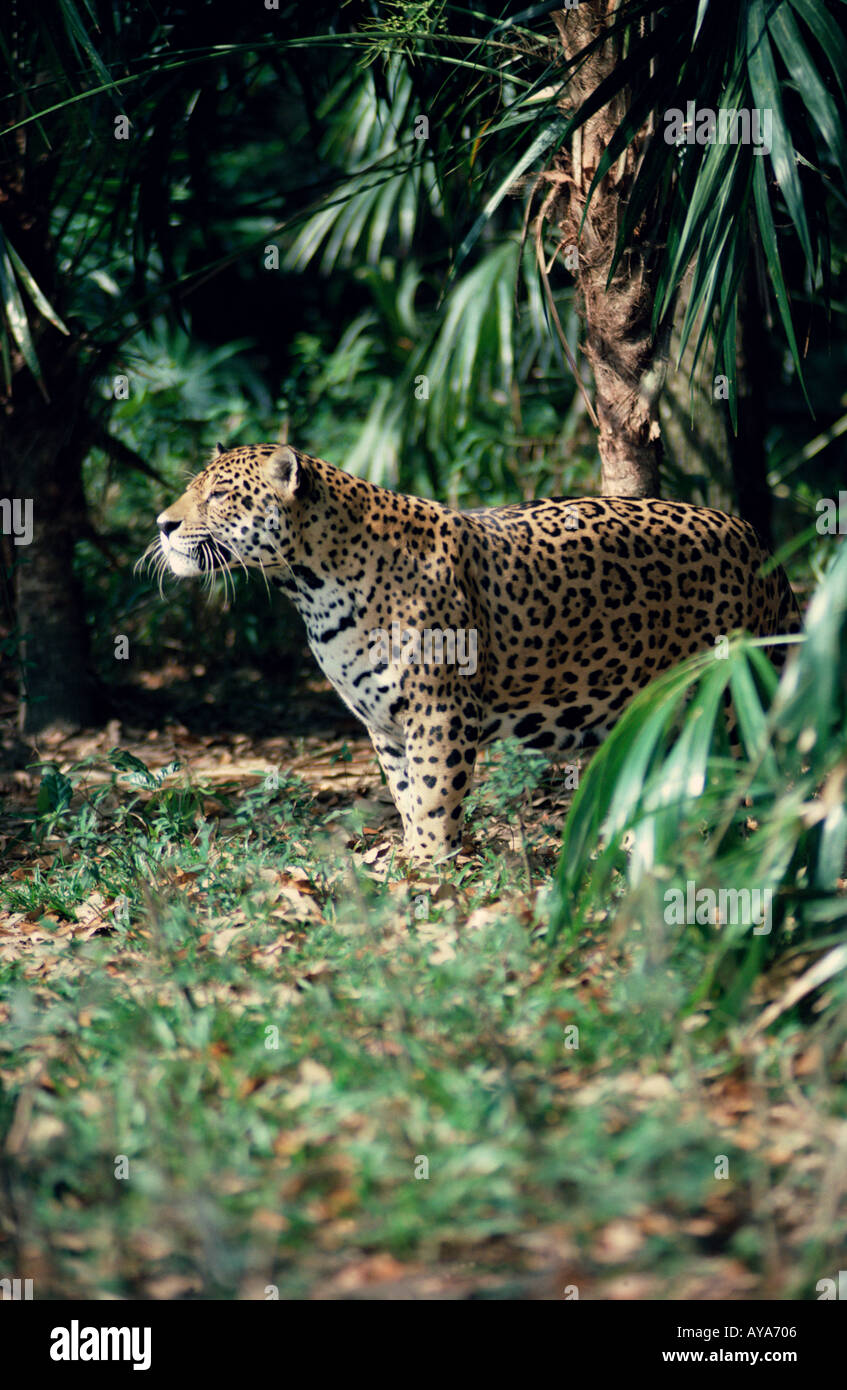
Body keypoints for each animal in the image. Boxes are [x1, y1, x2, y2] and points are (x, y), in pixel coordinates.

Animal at [149, 443, 801, 861]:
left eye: (220, 495)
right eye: (189, 489)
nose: (161, 524)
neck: (309, 585)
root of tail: (755, 539)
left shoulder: (440, 712)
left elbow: (436, 798)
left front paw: (428, 874)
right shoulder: (384, 725)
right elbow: (407, 797)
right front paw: (412, 859)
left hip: (725, 697)